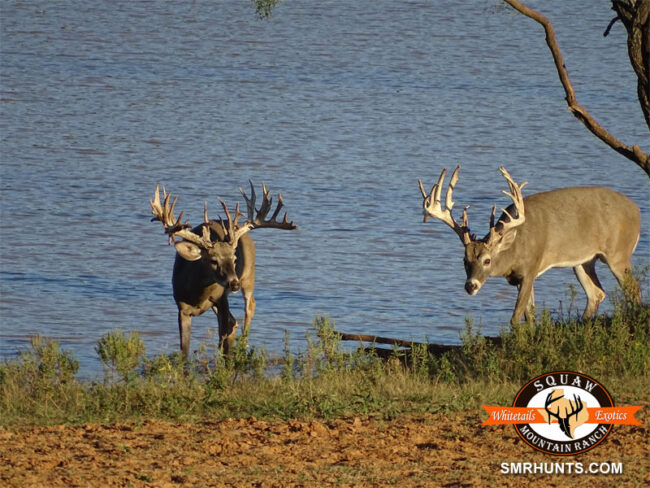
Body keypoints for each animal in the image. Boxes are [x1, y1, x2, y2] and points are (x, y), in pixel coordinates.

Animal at [151, 181, 297, 358]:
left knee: (249, 307)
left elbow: (223, 338)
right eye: (213, 260)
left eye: (234, 259)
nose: (234, 283)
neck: (197, 296)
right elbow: (184, 350)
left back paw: (242, 348)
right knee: (234, 322)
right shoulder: (181, 309)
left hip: (249, 276)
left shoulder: (221, 300)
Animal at [418, 166, 641, 324]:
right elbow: (530, 315)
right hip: (583, 261)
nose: (470, 286)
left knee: (634, 290)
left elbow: (516, 317)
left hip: (619, 253)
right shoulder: (518, 278)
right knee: (596, 294)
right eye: (465, 260)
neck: (514, 248)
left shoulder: (531, 268)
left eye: (487, 260)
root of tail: (637, 211)